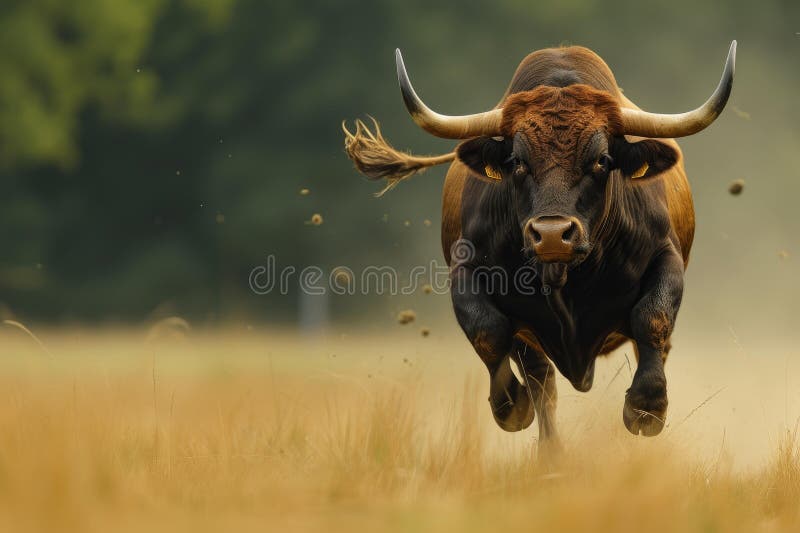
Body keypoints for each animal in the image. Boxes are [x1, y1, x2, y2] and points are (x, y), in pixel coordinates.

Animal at [343, 42, 736, 449]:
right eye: (517, 161)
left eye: (602, 160)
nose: (551, 234)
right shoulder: (466, 268)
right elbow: (488, 329)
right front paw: (510, 405)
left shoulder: (665, 257)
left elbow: (652, 317)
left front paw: (647, 407)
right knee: (541, 380)